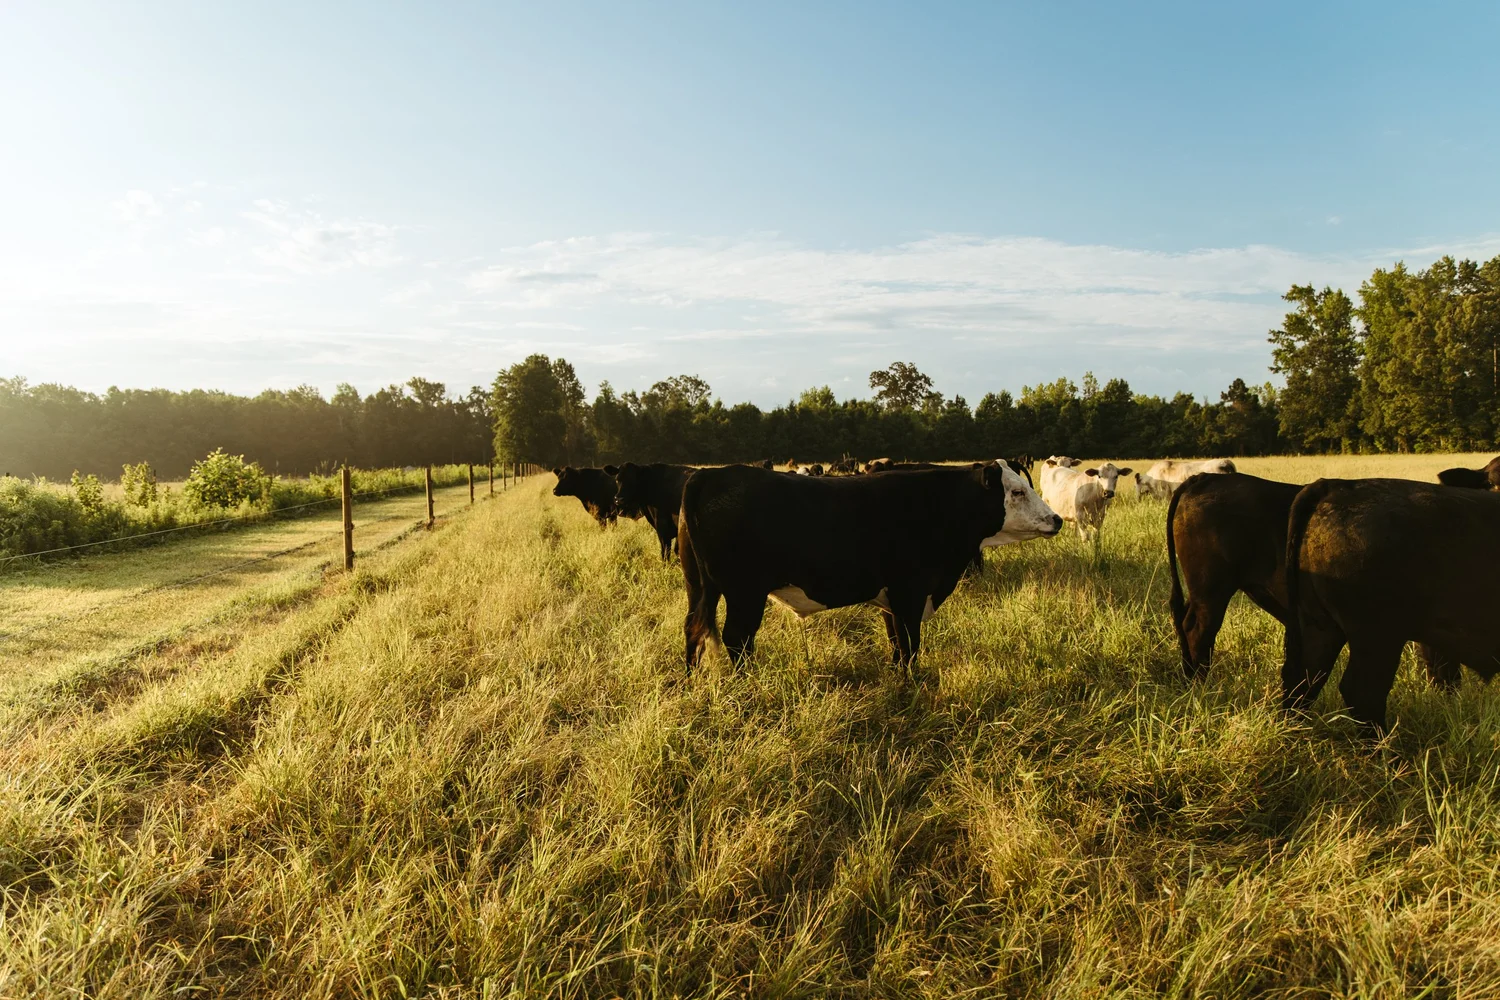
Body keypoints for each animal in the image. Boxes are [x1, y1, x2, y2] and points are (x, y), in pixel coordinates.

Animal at [678, 461, 1062, 675]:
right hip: (745, 594)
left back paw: (690, 680)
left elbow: (896, 645)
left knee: (692, 629)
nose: (1056, 519)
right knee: (737, 639)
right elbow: (909, 647)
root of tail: (708, 477)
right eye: (1016, 491)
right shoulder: (909, 594)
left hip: (698, 586)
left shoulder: (892, 600)